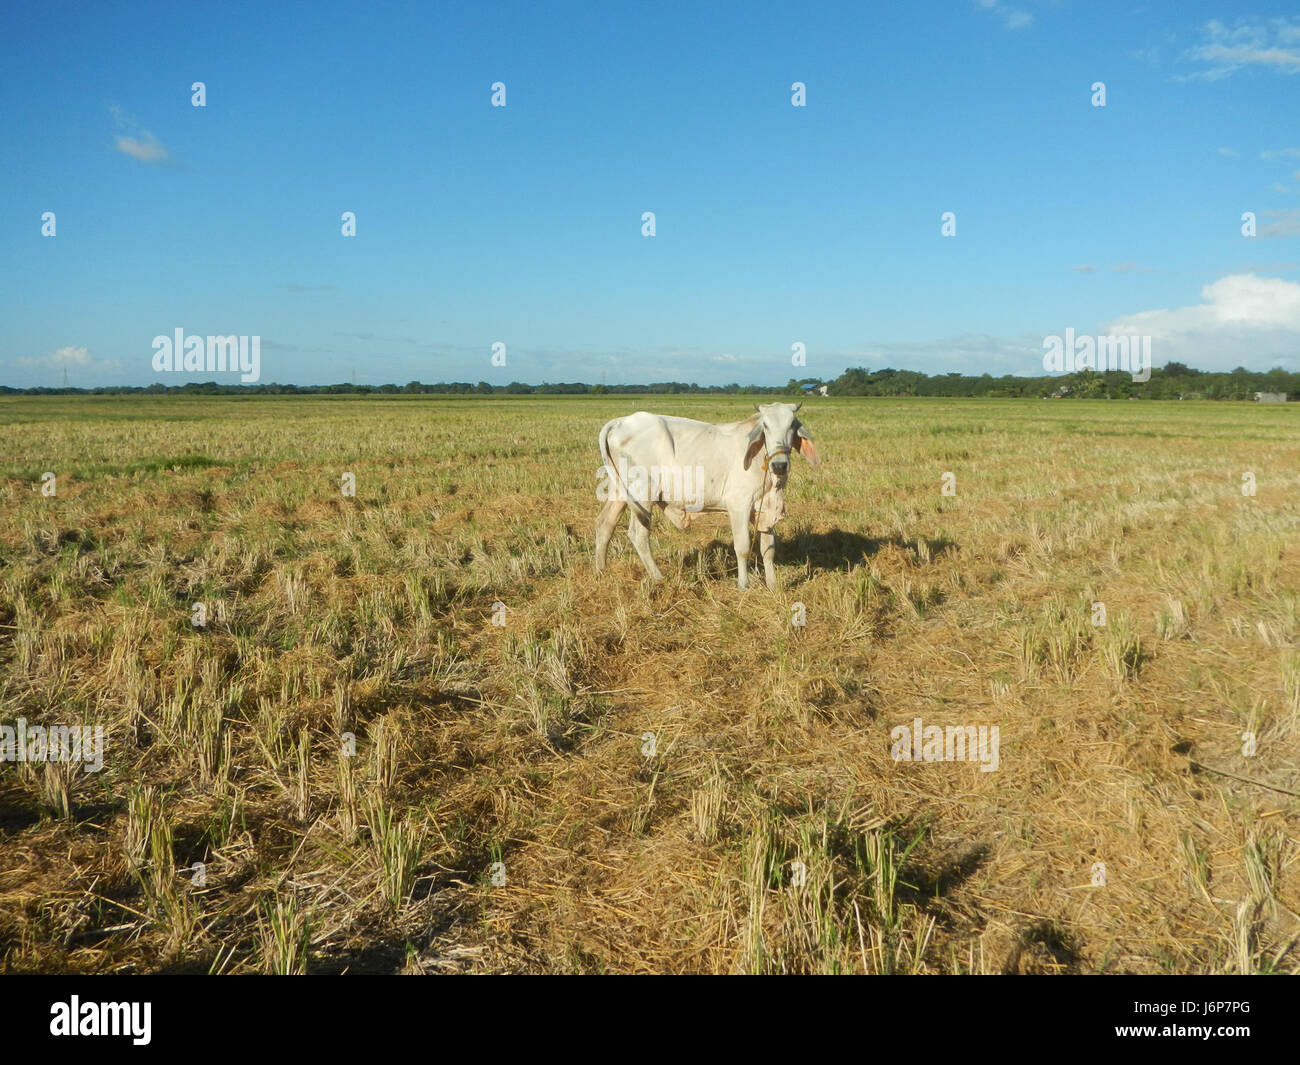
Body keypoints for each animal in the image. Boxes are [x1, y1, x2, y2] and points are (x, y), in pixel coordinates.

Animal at [594, 402, 821, 590]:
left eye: (792, 425)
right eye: (765, 425)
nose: (779, 465)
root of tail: (620, 421)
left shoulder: (764, 509)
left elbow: (768, 549)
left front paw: (772, 585)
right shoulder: (739, 505)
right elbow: (743, 547)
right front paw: (744, 584)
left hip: (620, 492)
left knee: (605, 524)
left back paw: (601, 571)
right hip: (643, 494)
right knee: (637, 535)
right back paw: (658, 577)